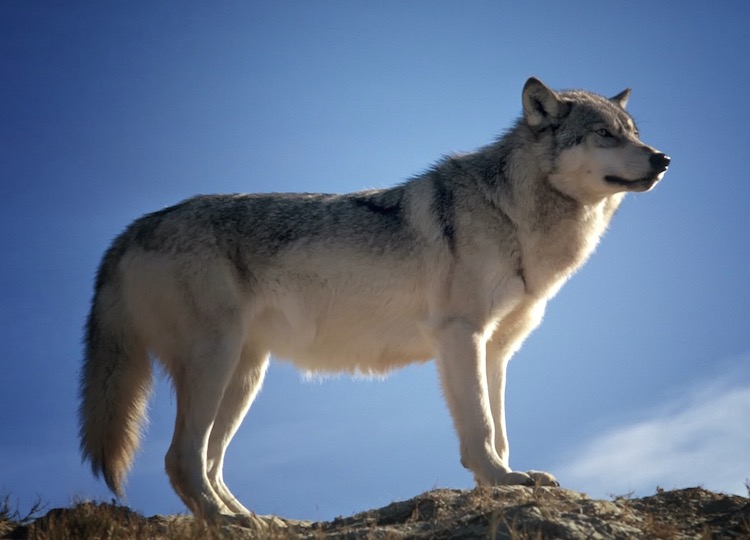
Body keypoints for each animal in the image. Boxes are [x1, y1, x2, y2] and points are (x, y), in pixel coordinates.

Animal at [79, 77, 669, 521]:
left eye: (634, 134)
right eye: (604, 135)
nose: (662, 159)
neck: (512, 214)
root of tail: (131, 229)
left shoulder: (497, 350)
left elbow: (499, 429)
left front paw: (507, 479)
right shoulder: (461, 336)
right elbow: (480, 428)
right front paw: (501, 481)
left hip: (245, 376)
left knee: (209, 462)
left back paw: (255, 519)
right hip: (215, 364)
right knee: (181, 459)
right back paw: (227, 522)